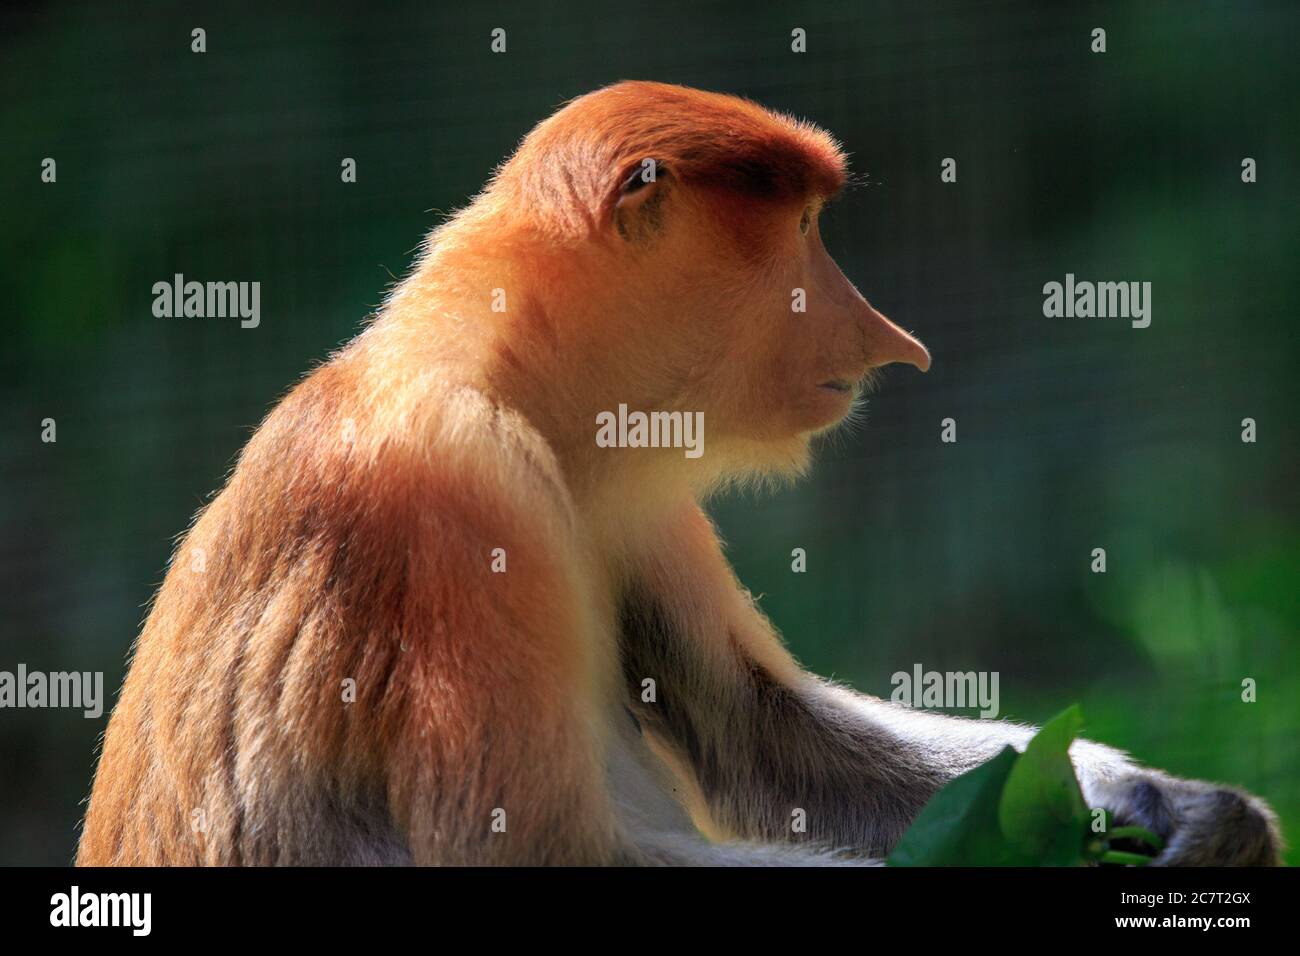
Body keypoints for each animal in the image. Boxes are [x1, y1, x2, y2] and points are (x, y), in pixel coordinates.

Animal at [78, 81, 1281, 866]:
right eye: (804, 229)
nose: (891, 341)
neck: (506, 376)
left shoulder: (635, 486)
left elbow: (764, 738)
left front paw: (1173, 807)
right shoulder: (450, 495)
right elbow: (533, 849)